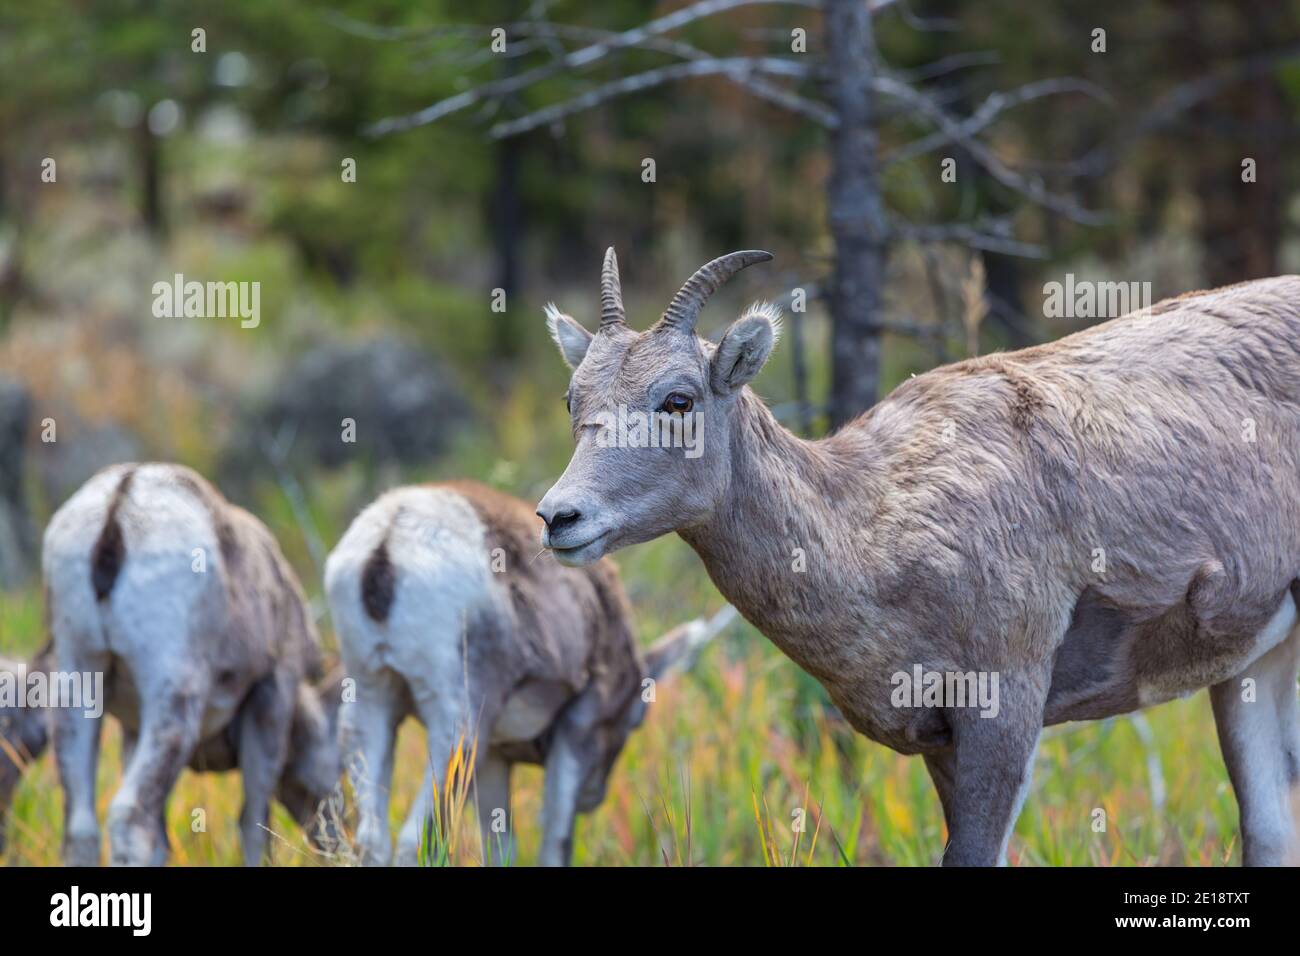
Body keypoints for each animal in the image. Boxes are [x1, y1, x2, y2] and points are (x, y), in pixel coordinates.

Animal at [44, 462, 341, 866]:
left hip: (76, 682)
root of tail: (114, 516)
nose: (337, 841)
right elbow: (254, 824)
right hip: (174, 701)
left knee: (82, 828)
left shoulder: (132, 731)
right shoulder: (271, 698)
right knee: (130, 816)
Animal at [325, 480, 721, 866]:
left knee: (372, 841)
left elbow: (501, 848)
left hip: (372, 702)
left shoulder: (495, 759)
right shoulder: (580, 726)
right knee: (414, 840)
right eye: (637, 718)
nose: (593, 796)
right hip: (458, 732)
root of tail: (387, 542)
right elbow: (555, 839)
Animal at [538, 247, 1300, 866]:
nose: (558, 517)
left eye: (678, 400)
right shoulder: (941, 743)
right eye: (572, 399)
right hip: (1255, 668)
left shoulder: (1005, 709)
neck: (876, 539)